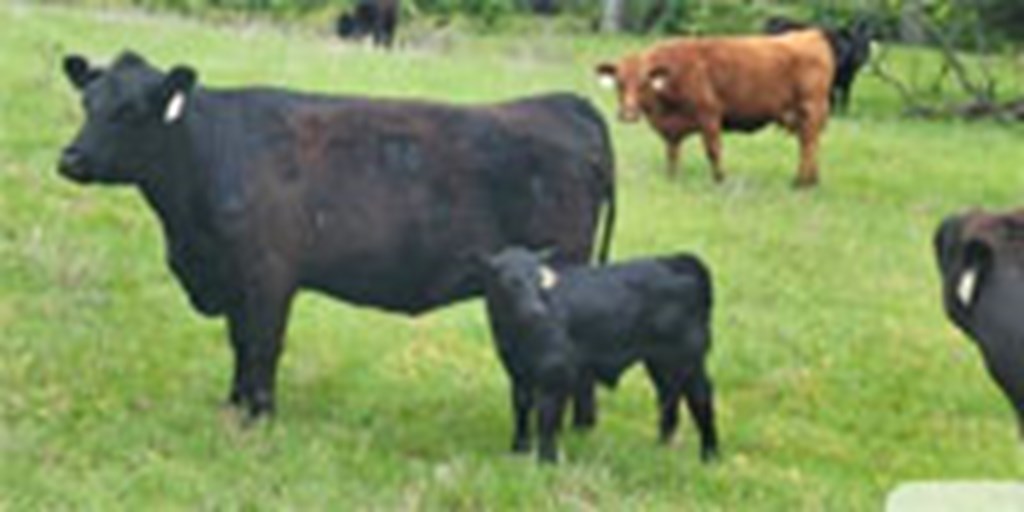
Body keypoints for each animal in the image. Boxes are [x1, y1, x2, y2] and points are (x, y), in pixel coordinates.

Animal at [57, 51, 616, 420]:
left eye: (131, 110)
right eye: (86, 102)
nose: (71, 159)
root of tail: (567, 103)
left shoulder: (268, 273)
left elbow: (262, 344)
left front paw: (259, 417)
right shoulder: (234, 278)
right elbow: (239, 342)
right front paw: (233, 406)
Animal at [476, 247, 718, 463]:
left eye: (539, 281)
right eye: (510, 282)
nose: (537, 312)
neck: (516, 335)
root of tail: (673, 260)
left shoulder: (555, 371)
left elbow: (547, 414)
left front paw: (547, 459)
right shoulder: (518, 373)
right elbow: (522, 407)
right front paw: (519, 448)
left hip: (687, 357)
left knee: (700, 396)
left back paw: (710, 455)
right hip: (660, 361)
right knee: (668, 394)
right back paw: (662, 447)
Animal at [596, 29, 834, 187]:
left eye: (644, 83)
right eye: (619, 83)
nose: (629, 113)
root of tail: (809, 34)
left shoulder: (709, 115)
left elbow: (713, 150)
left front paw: (720, 179)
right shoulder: (672, 129)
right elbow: (672, 153)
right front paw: (672, 178)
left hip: (811, 109)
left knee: (809, 144)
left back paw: (800, 182)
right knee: (809, 143)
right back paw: (812, 180)